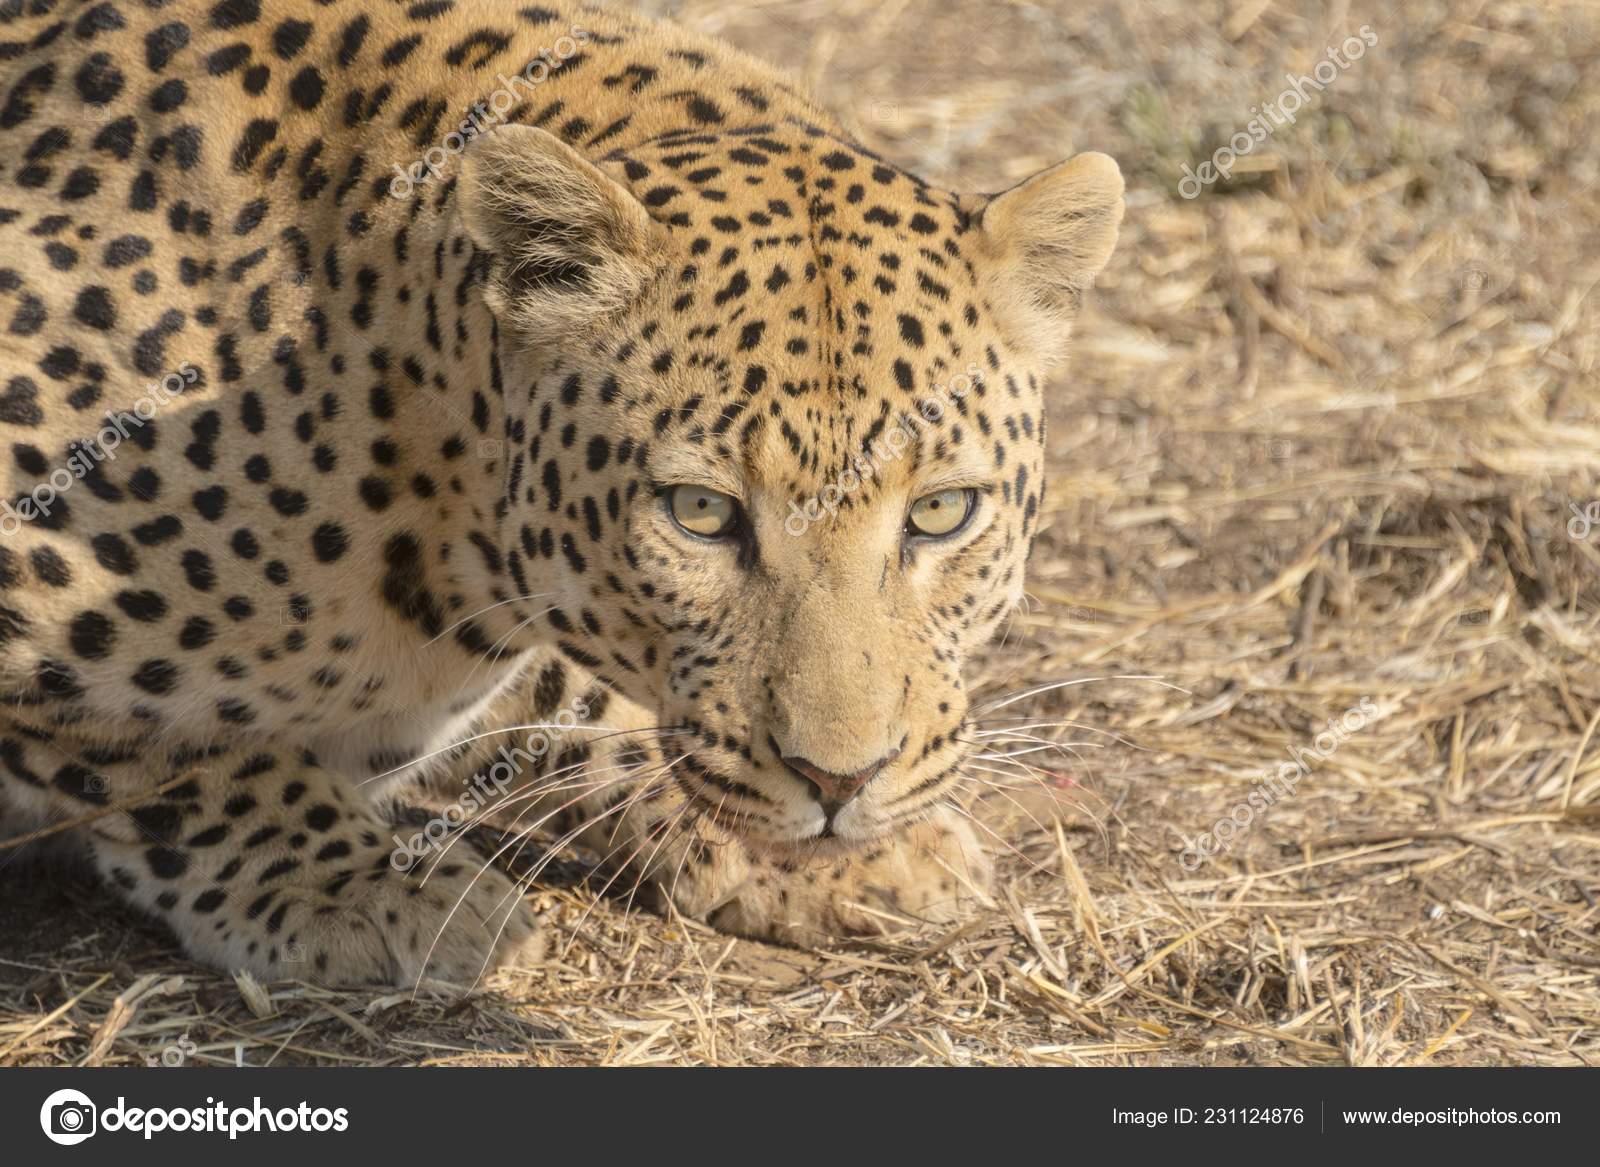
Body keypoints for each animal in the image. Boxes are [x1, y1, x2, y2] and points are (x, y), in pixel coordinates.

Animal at [0, 0, 1122, 988]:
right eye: (700, 514)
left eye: (940, 512)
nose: (840, 784)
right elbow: (164, 751)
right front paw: (357, 887)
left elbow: (581, 700)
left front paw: (847, 849)